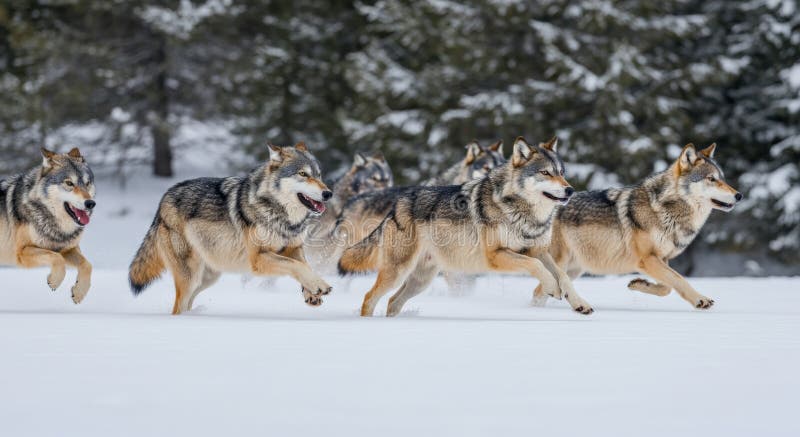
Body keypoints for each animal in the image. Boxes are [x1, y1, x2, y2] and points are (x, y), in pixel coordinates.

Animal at [0, 148, 96, 304]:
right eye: (69, 183)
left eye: (87, 183)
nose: (91, 203)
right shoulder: (22, 252)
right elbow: (57, 258)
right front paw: (54, 281)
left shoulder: (68, 249)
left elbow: (87, 265)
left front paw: (79, 292)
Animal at [128, 142, 334, 315]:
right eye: (303, 174)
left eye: (319, 175)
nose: (328, 193)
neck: (283, 217)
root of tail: (164, 199)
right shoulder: (259, 258)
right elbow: (296, 265)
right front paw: (319, 286)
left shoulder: (293, 248)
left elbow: (304, 265)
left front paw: (311, 292)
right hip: (190, 277)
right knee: (178, 308)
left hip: (207, 278)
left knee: (186, 305)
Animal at [338, 137, 594, 317]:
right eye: (545, 172)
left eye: (561, 173)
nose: (570, 190)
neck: (524, 213)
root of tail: (396, 206)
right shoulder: (497, 256)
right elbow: (537, 268)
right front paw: (552, 288)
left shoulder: (538, 250)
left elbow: (562, 275)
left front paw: (580, 303)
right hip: (397, 272)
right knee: (369, 297)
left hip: (420, 281)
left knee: (392, 302)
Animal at [537, 143, 742, 309]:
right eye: (711, 179)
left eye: (722, 178)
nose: (739, 195)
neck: (666, 209)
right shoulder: (647, 259)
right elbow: (679, 279)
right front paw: (700, 300)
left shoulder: (662, 259)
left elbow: (667, 287)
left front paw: (638, 283)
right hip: (561, 264)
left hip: (574, 269)